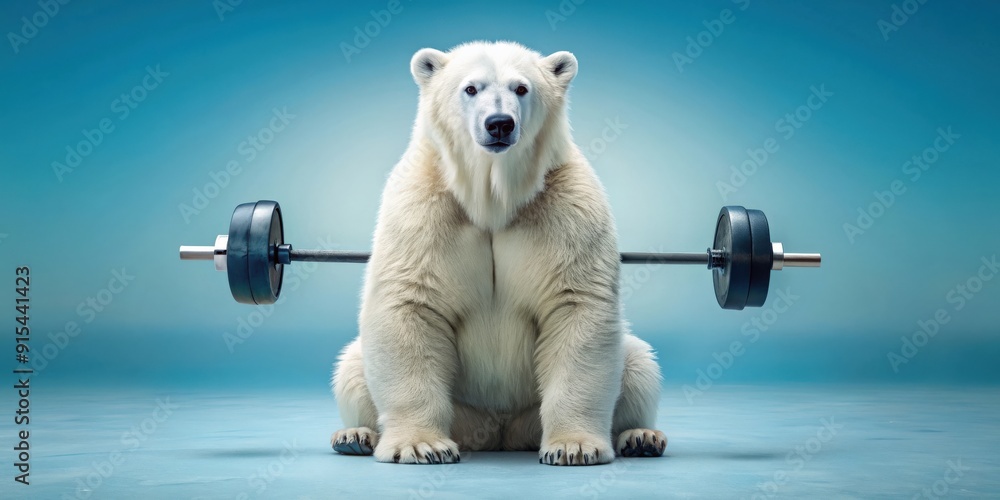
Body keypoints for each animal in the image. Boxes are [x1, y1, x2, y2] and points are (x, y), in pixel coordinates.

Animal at [331, 41, 666, 466]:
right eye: (471, 88)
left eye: (521, 88)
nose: (499, 124)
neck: (493, 200)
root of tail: (498, 432)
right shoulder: (425, 207)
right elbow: (409, 303)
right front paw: (422, 446)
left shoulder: (563, 207)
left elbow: (576, 305)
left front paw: (573, 446)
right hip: (460, 410)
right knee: (352, 365)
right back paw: (355, 436)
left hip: (535, 409)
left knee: (638, 363)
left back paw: (640, 436)